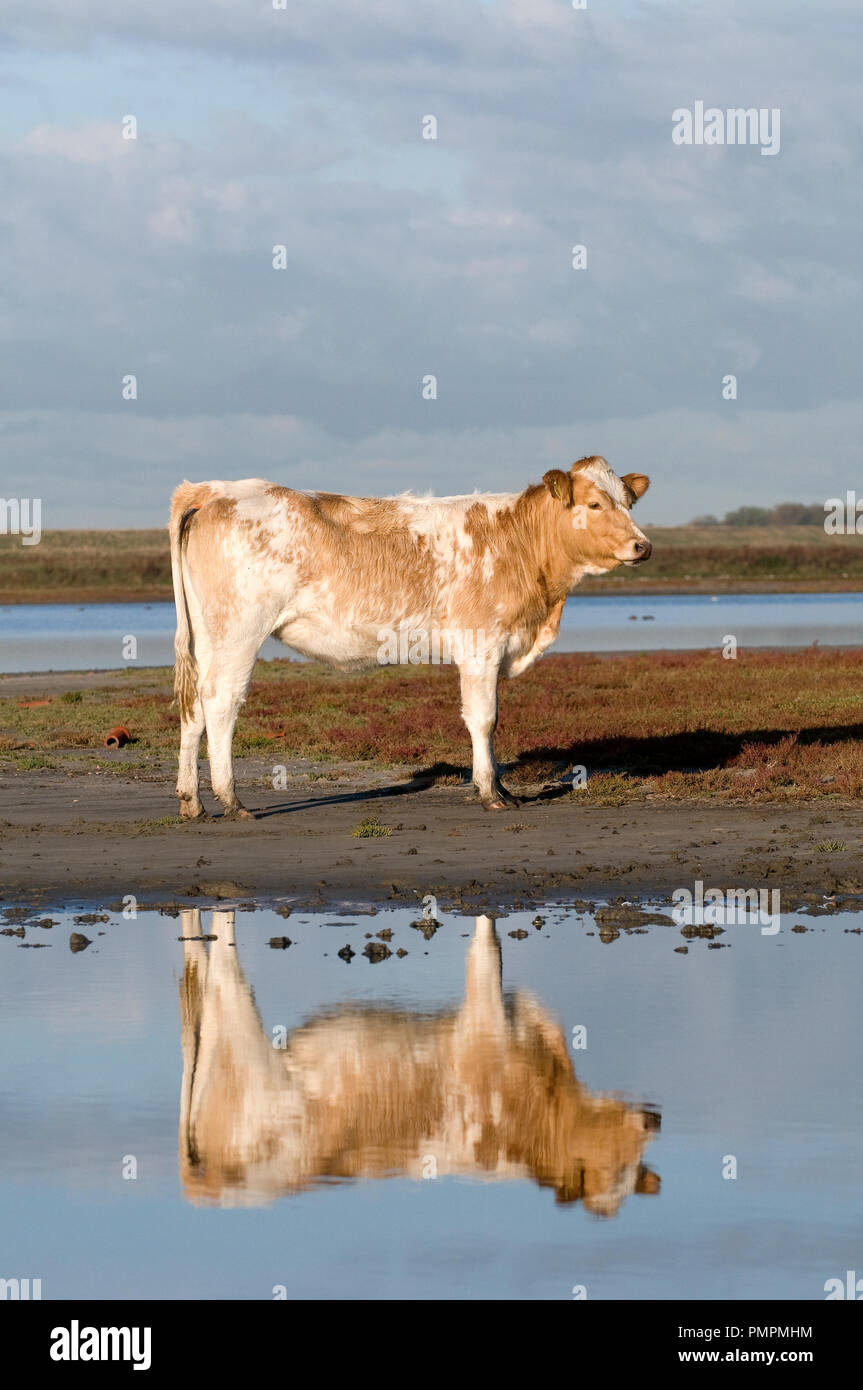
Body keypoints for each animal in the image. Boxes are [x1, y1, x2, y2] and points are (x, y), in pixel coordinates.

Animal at [169, 456, 651, 819]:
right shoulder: (481, 646)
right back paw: (231, 800)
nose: (642, 546)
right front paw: (490, 792)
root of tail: (215, 489)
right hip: (239, 631)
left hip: (209, 635)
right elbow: (485, 719)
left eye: (629, 503)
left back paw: (192, 802)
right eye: (593, 503)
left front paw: (500, 788)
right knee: (221, 703)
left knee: (194, 705)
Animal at [178, 910, 661, 1211]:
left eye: (635, 1168)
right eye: (612, 1165)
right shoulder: (484, 1017)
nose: (653, 1120)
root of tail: (217, 1186)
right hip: (245, 1042)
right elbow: (488, 947)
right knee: (222, 967)